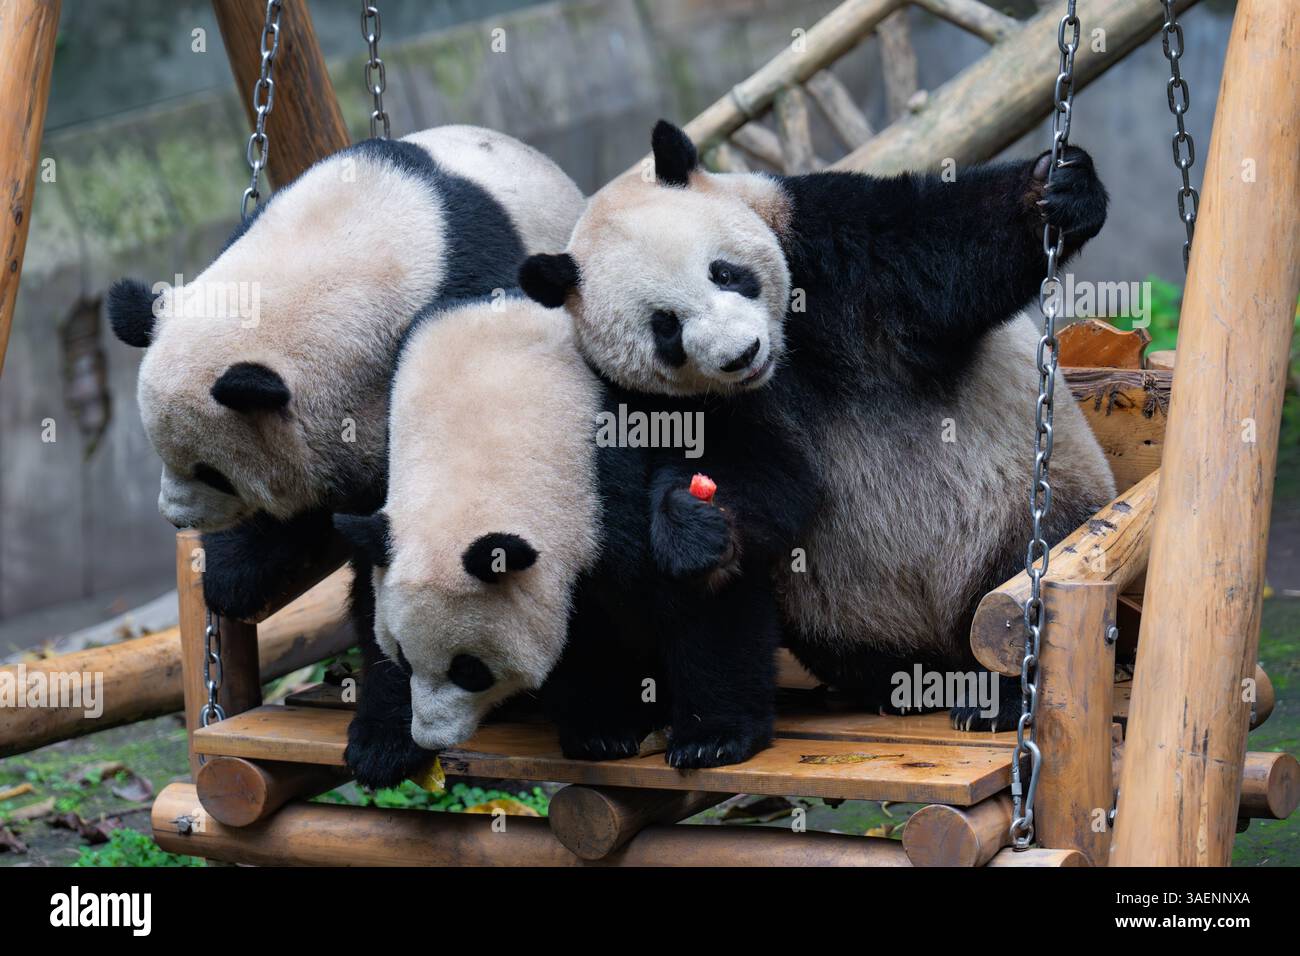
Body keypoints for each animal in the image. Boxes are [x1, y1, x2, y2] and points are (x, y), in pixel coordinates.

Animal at [334, 293, 814, 788]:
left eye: (469, 671)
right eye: (404, 659)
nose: (432, 736)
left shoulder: (601, 477)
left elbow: (691, 598)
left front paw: (712, 737)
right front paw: (601, 727)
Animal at [518, 120, 1118, 732]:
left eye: (725, 273)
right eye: (666, 327)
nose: (741, 354)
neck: (784, 355)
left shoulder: (825, 241)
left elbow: (942, 251)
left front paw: (1057, 186)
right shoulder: (676, 401)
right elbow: (752, 468)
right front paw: (694, 527)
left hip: (1030, 504)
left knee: (1024, 580)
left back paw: (999, 696)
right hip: (836, 607)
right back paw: (904, 682)